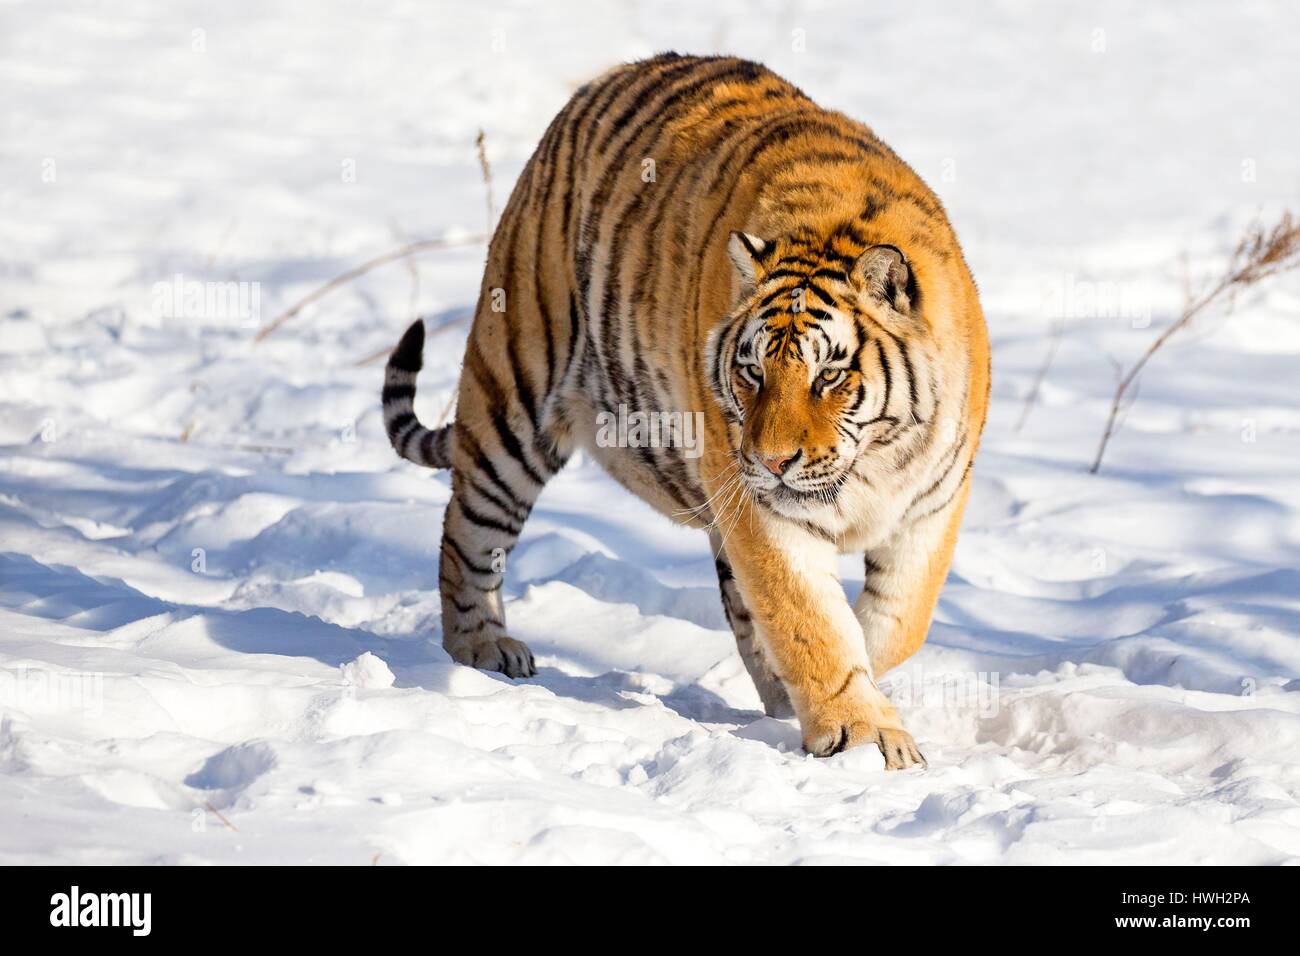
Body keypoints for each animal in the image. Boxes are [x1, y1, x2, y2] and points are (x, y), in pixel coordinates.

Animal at [383, 53, 989, 769]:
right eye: (753, 371)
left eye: (830, 374)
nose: (773, 461)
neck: (872, 463)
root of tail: (597, 85)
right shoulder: (759, 509)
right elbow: (810, 621)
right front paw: (862, 735)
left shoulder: (932, 504)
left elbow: (897, 620)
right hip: (514, 395)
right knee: (466, 535)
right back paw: (483, 648)